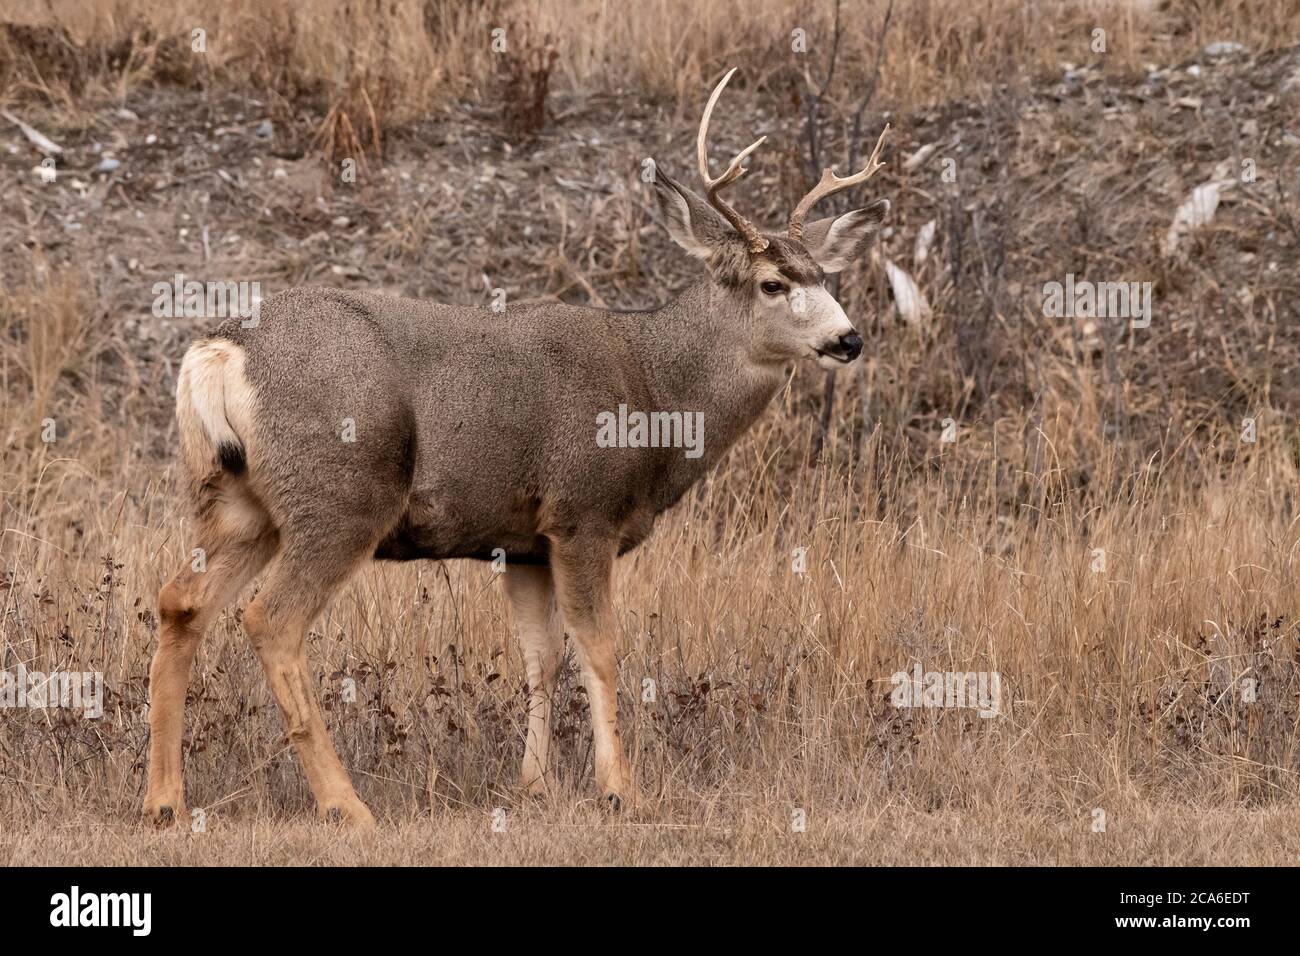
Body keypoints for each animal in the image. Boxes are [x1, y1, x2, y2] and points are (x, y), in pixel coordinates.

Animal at [144, 68, 890, 828]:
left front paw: (535, 787)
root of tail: (219, 351)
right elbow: (600, 649)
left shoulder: (524, 542)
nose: (848, 339)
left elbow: (542, 657)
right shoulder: (583, 511)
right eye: (774, 283)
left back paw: (165, 800)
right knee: (271, 620)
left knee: (180, 602)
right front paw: (621, 788)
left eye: (826, 278)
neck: (654, 391)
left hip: (238, 500)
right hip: (341, 496)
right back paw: (345, 805)